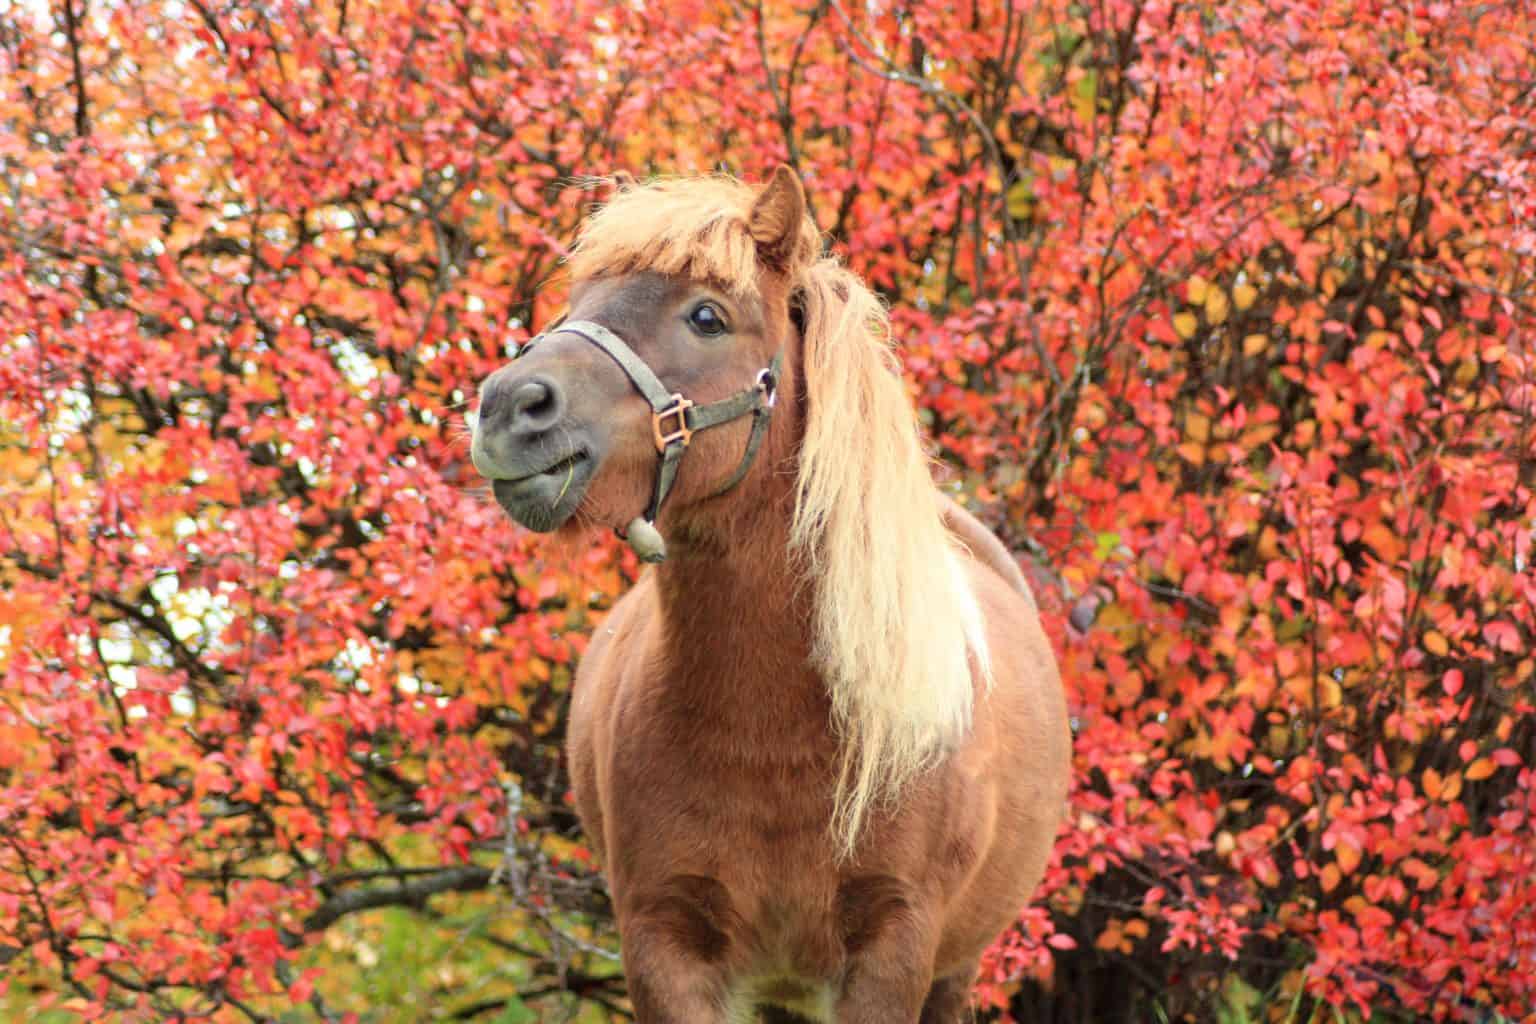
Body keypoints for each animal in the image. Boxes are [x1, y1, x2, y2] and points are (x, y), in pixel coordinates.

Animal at [470, 167, 1070, 1023]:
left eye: (707, 316)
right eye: (577, 299)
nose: (509, 407)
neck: (776, 730)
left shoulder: (895, 948)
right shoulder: (664, 942)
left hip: (955, 971)